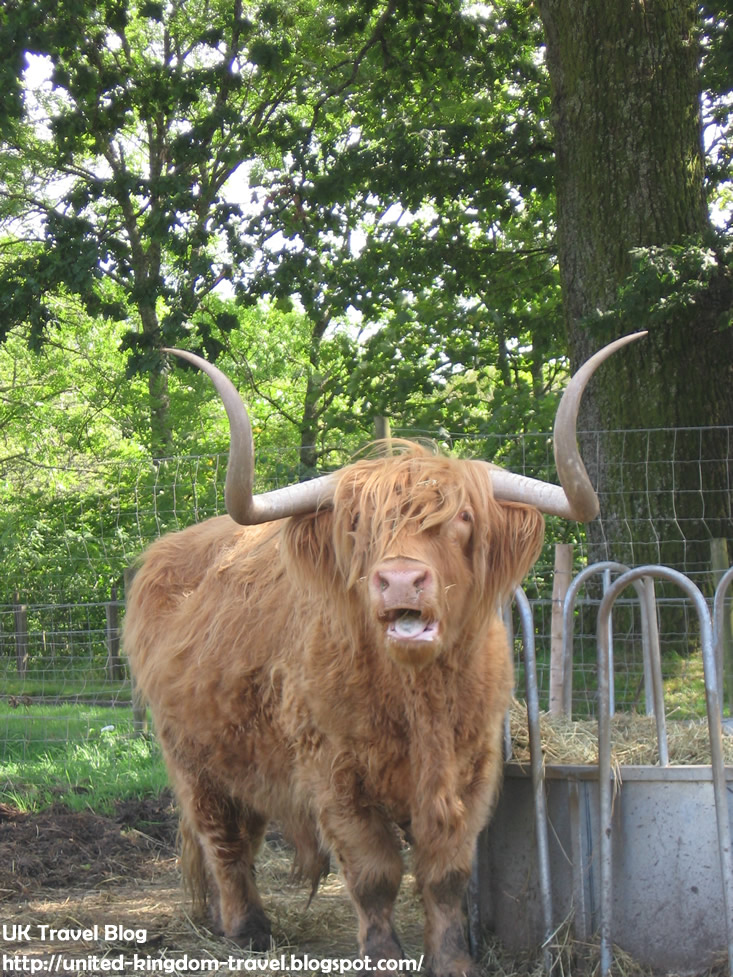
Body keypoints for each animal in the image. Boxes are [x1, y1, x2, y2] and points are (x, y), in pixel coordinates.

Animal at [123, 333, 643, 977]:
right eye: (357, 527)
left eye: (461, 518)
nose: (399, 580)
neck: (417, 705)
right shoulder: (334, 772)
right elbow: (375, 872)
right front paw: (383, 955)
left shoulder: (471, 770)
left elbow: (446, 873)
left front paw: (453, 959)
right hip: (192, 759)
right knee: (224, 842)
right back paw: (247, 929)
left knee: (244, 831)